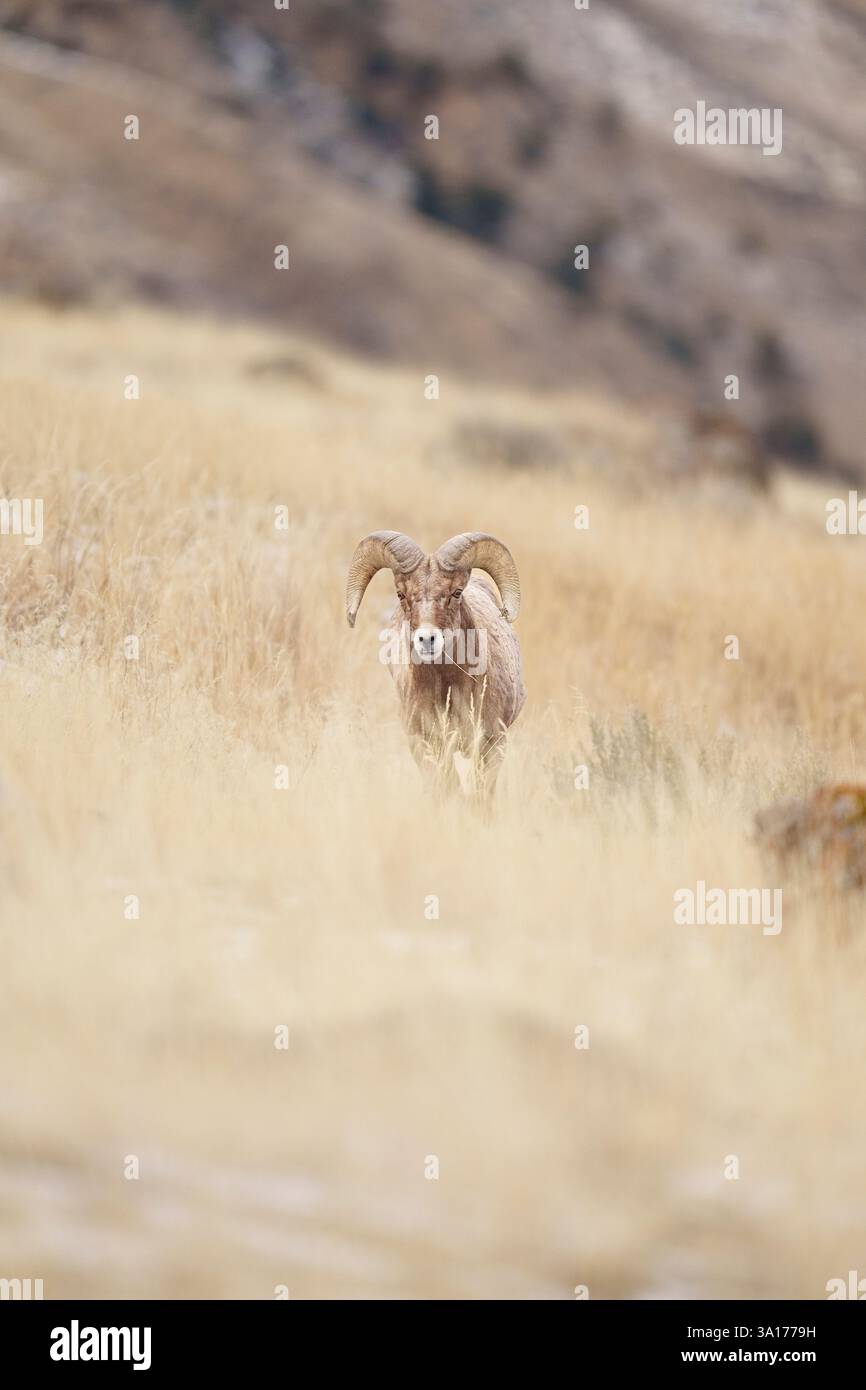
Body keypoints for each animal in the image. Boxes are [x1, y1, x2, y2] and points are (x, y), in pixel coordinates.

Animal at [346, 531, 525, 796]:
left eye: (457, 592)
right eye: (401, 594)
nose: (427, 639)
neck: (449, 691)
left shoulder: (492, 744)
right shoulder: (425, 745)